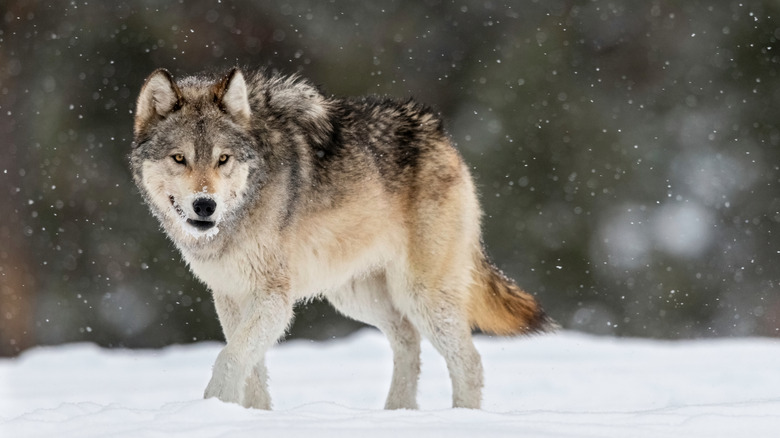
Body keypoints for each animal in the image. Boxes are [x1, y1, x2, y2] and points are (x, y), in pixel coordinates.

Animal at [130, 67, 555, 410]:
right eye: (179, 158)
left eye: (223, 159)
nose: (205, 205)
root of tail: (437, 132)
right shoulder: (231, 297)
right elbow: (251, 367)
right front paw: (253, 416)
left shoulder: (273, 299)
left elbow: (230, 358)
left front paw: (213, 408)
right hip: (357, 296)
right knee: (408, 340)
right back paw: (397, 414)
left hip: (420, 296)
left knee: (469, 361)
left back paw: (458, 419)